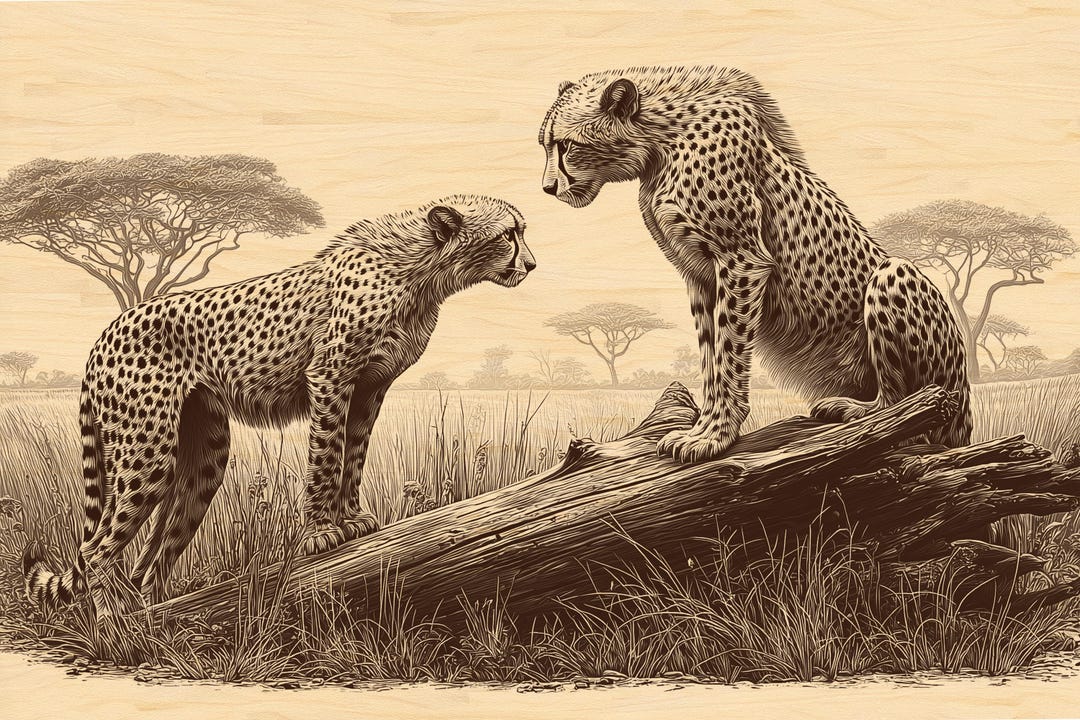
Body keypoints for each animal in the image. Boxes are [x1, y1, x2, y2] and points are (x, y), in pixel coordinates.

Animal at [24, 194, 535, 607]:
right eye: (507, 234)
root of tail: (105, 332)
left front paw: (352, 518)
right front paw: (322, 532)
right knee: (94, 549)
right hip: (147, 452)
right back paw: (114, 623)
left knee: (152, 552)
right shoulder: (331, 376)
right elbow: (327, 457)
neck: (419, 270)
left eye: (521, 231)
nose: (531, 266)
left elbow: (353, 456)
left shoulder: (370, 388)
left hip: (204, 452)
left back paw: (155, 618)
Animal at [538, 66, 971, 463]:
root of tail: (964, 418)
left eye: (568, 145)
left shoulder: (741, 260)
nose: (547, 188)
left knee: (904, 406)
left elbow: (728, 353)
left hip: (896, 278)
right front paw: (703, 427)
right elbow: (710, 354)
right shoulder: (699, 274)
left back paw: (855, 409)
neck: (662, 142)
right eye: (545, 145)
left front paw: (715, 435)